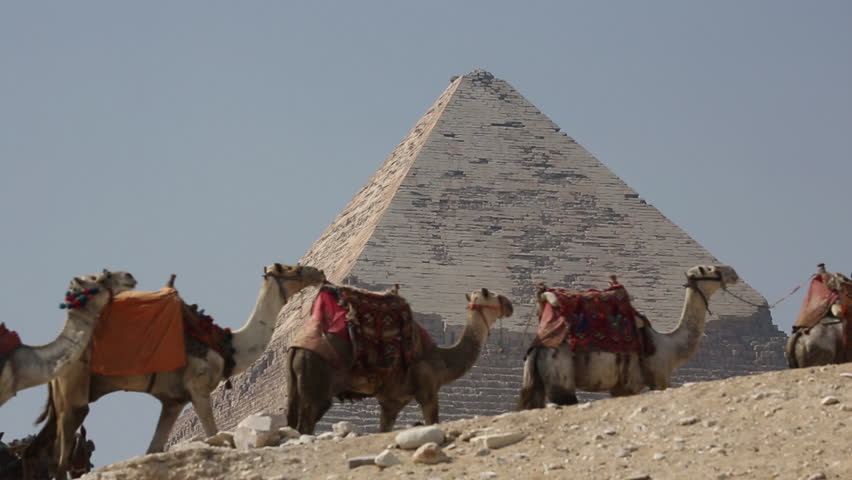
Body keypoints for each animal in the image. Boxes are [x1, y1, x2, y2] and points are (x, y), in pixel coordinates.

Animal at [35, 263, 325, 479]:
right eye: (290, 268)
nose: (318, 273)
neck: (228, 345)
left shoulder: (173, 401)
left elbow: (153, 448)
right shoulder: (198, 388)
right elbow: (215, 435)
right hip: (75, 386)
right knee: (63, 449)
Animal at [287, 287, 513, 434]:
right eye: (492, 294)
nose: (510, 304)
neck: (442, 359)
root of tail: (296, 347)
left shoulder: (391, 401)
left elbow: (384, 430)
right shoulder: (428, 391)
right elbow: (432, 422)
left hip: (297, 384)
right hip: (318, 384)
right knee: (306, 425)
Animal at [518, 265, 739, 409]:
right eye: (711, 268)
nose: (733, 273)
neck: (670, 345)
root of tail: (538, 345)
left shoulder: (623, 388)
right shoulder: (660, 379)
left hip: (535, 381)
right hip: (561, 375)